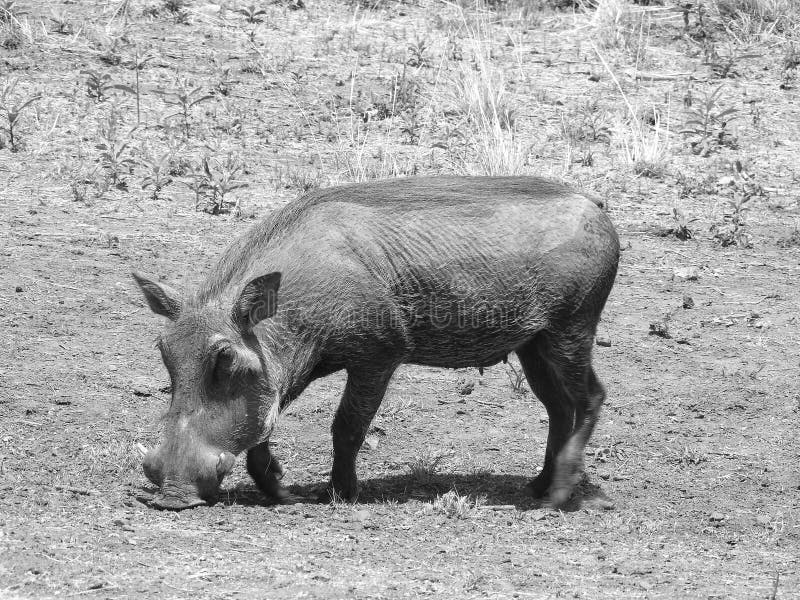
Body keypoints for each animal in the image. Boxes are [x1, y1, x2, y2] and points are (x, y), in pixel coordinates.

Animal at [133, 176, 619, 510]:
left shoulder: (378, 355)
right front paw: (283, 492)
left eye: (225, 359)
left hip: (572, 329)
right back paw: (537, 486)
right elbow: (263, 426)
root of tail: (593, 202)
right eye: (164, 351)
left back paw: (556, 497)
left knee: (590, 399)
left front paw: (338, 494)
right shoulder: (291, 370)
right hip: (534, 345)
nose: (172, 496)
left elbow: (347, 426)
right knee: (559, 408)